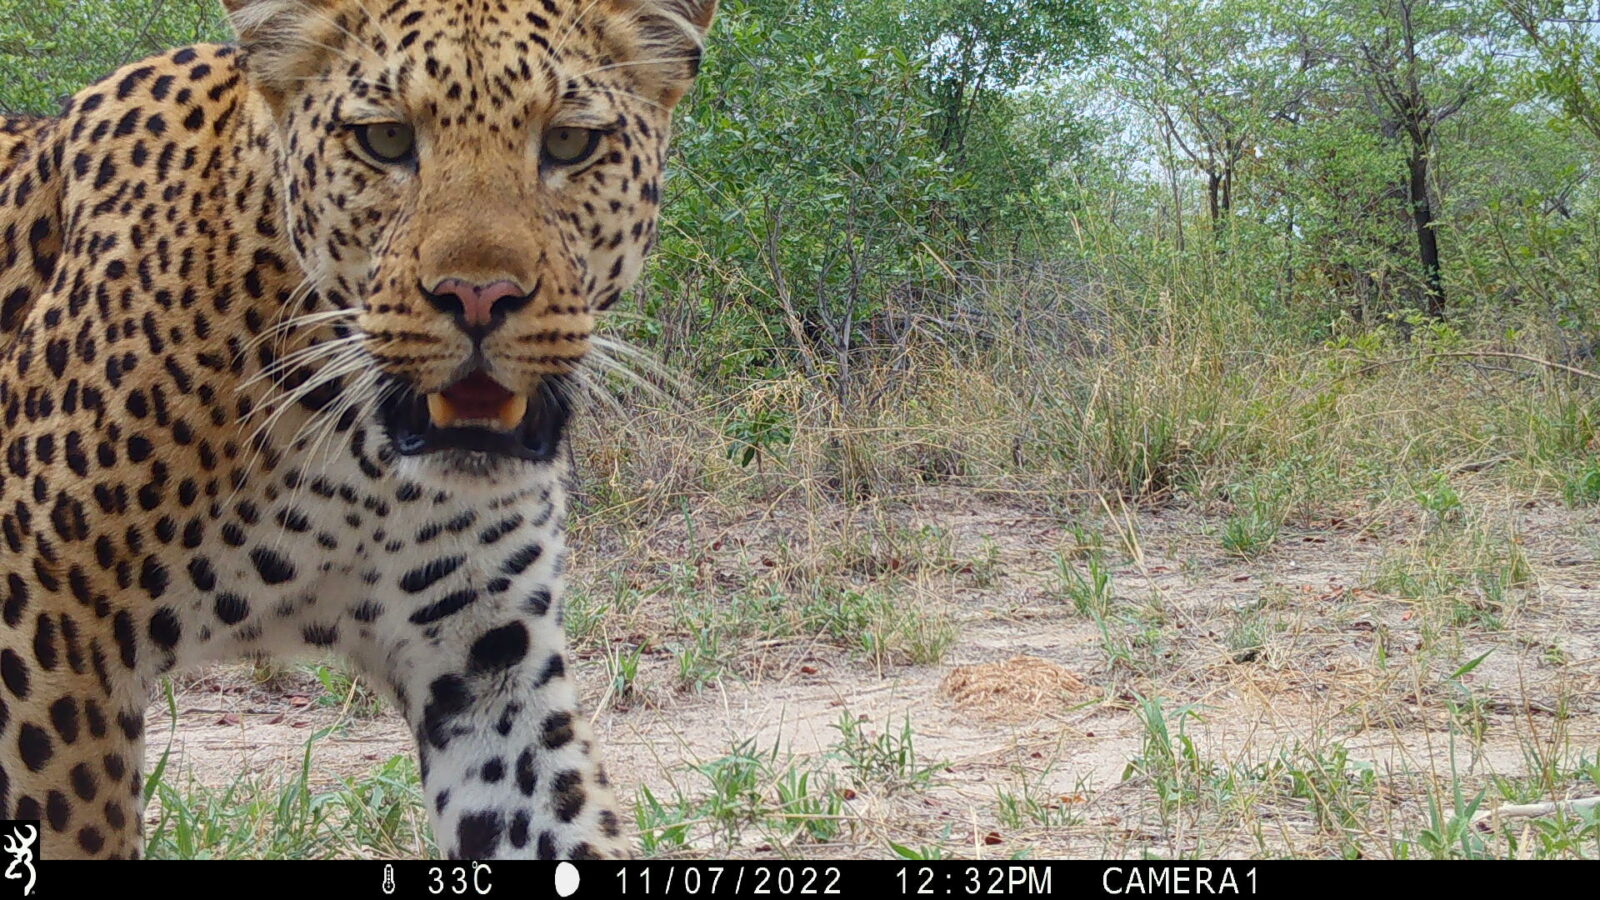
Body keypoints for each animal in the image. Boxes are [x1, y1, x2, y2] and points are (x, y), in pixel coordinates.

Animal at [0, 0, 716, 860]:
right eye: (385, 140)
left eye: (571, 143)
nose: (479, 297)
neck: (355, 465)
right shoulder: (50, 637)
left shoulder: (487, 669)